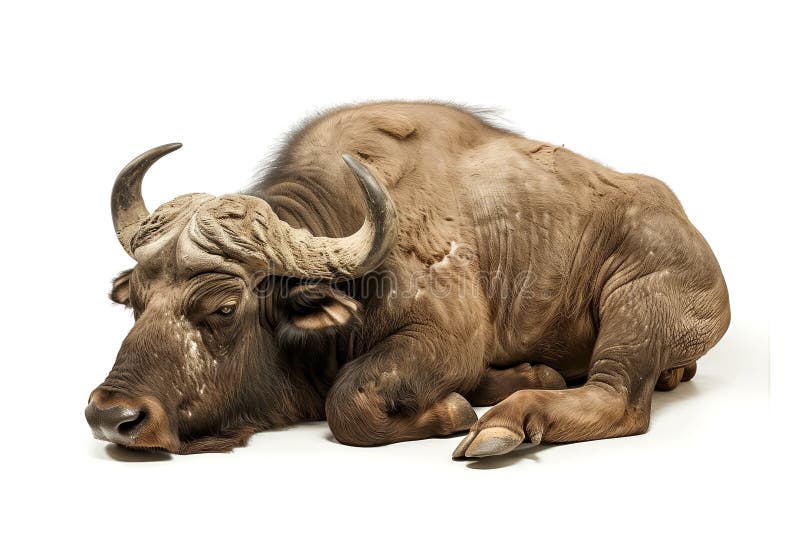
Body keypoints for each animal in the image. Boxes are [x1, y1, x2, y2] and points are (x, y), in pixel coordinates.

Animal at [86, 101, 730, 458]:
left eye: (222, 308)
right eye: (135, 302)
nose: (112, 417)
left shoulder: (443, 338)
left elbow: (348, 401)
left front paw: (455, 413)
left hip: (636, 303)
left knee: (618, 399)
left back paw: (502, 426)